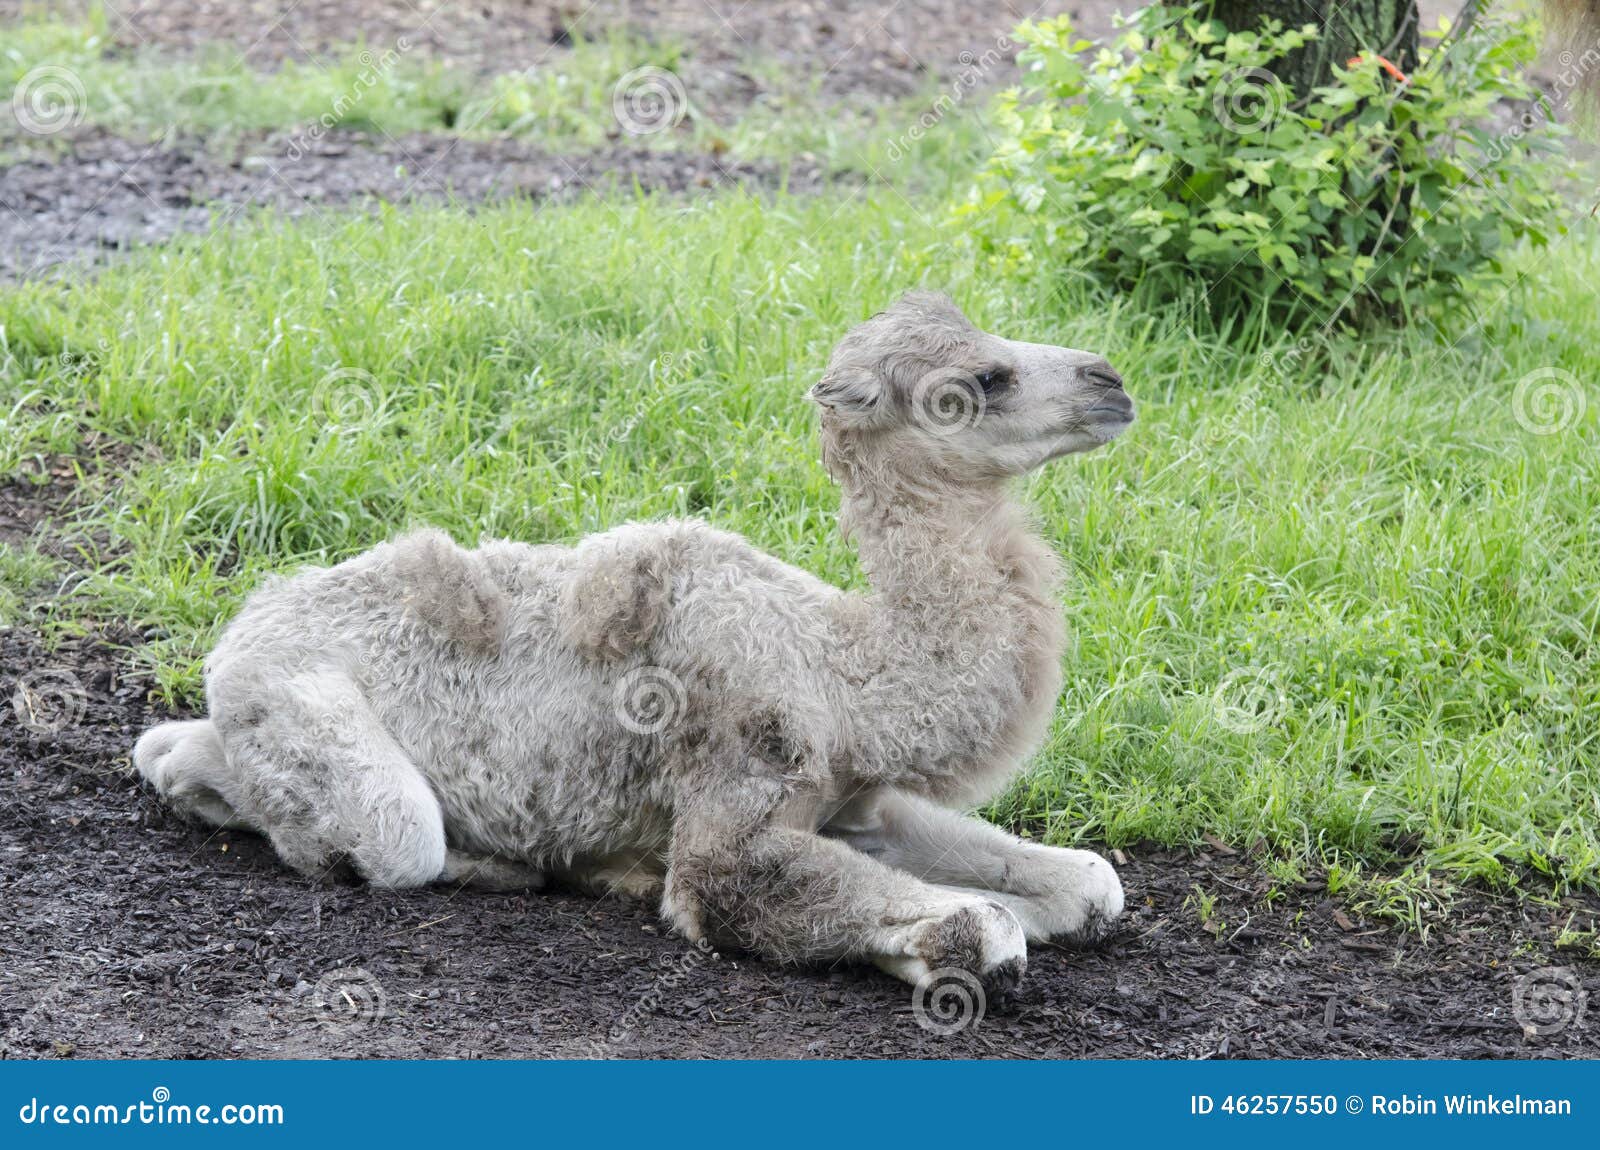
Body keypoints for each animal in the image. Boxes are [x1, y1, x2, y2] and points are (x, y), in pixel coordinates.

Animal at [133, 292, 1134, 994]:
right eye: (981, 381)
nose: (1111, 381)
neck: (843, 672)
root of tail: (240, 629)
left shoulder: (853, 800)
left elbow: (1093, 883)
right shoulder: (735, 783)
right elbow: (957, 925)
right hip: (305, 706)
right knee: (377, 832)